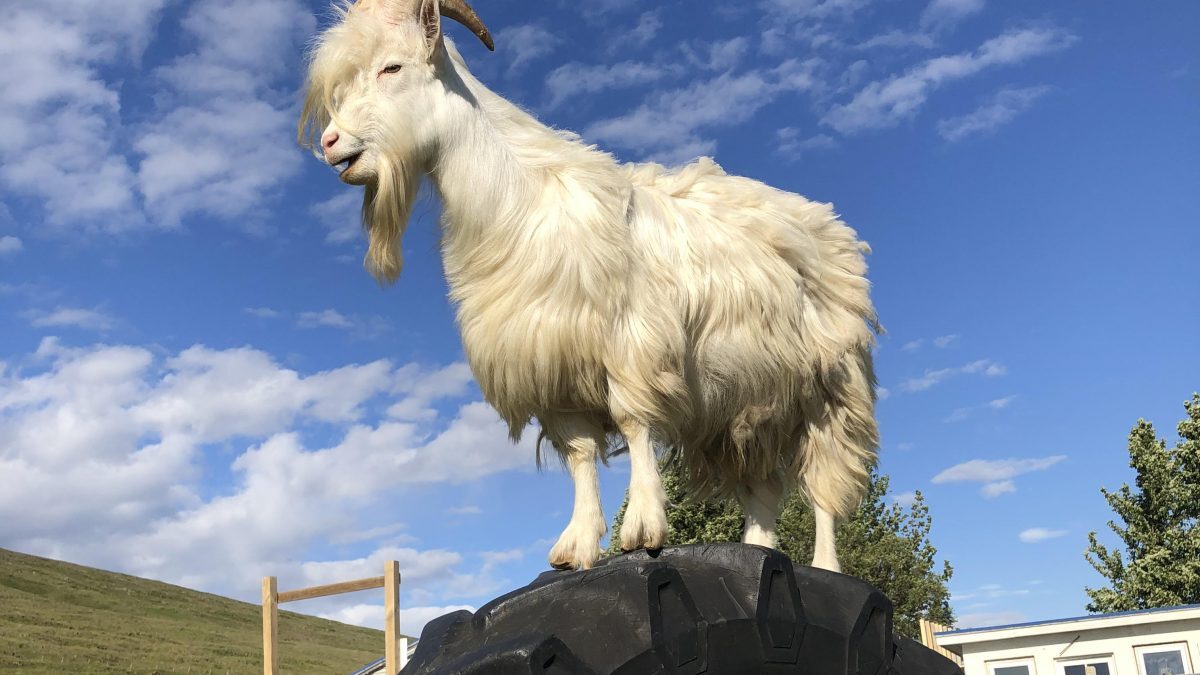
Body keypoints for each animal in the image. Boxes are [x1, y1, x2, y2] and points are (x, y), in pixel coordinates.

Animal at [299, 0, 880, 572]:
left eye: (392, 68)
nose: (330, 143)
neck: (521, 200)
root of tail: (827, 224)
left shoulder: (632, 345)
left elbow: (635, 421)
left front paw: (643, 528)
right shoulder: (554, 369)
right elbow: (580, 455)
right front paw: (576, 544)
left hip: (830, 390)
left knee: (823, 487)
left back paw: (825, 568)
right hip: (746, 405)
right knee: (762, 491)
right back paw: (758, 554)